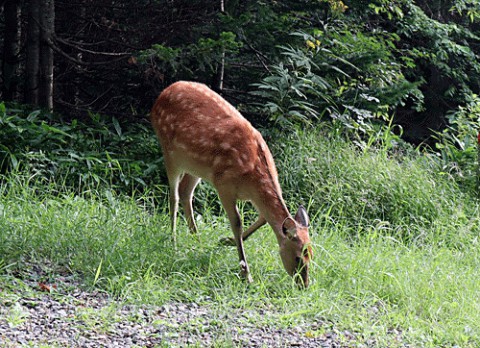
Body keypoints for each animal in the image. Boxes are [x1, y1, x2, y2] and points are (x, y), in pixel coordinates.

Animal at [152, 80, 314, 286]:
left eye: (311, 255)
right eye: (298, 257)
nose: (304, 285)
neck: (251, 176)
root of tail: (163, 94)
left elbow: (262, 218)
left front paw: (225, 241)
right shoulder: (224, 185)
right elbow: (237, 222)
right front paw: (246, 274)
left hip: (197, 167)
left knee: (185, 191)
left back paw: (196, 238)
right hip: (170, 152)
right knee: (173, 195)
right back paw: (173, 241)